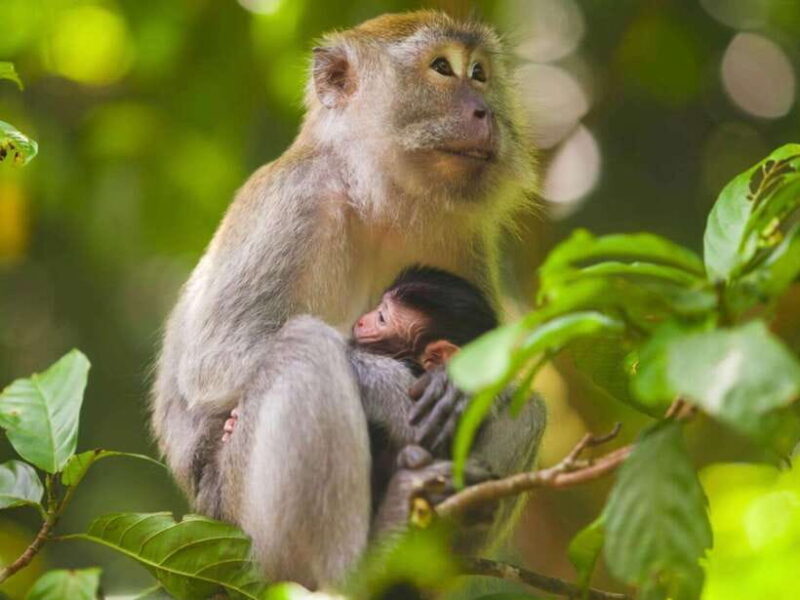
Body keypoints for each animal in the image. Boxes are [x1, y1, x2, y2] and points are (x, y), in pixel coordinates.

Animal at [151, 11, 544, 590]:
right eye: (442, 68)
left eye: (480, 73)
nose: (484, 110)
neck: (374, 194)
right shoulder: (292, 198)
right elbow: (216, 361)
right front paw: (397, 390)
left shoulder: (462, 233)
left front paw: (460, 382)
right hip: (241, 523)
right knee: (302, 349)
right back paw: (360, 562)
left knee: (530, 405)